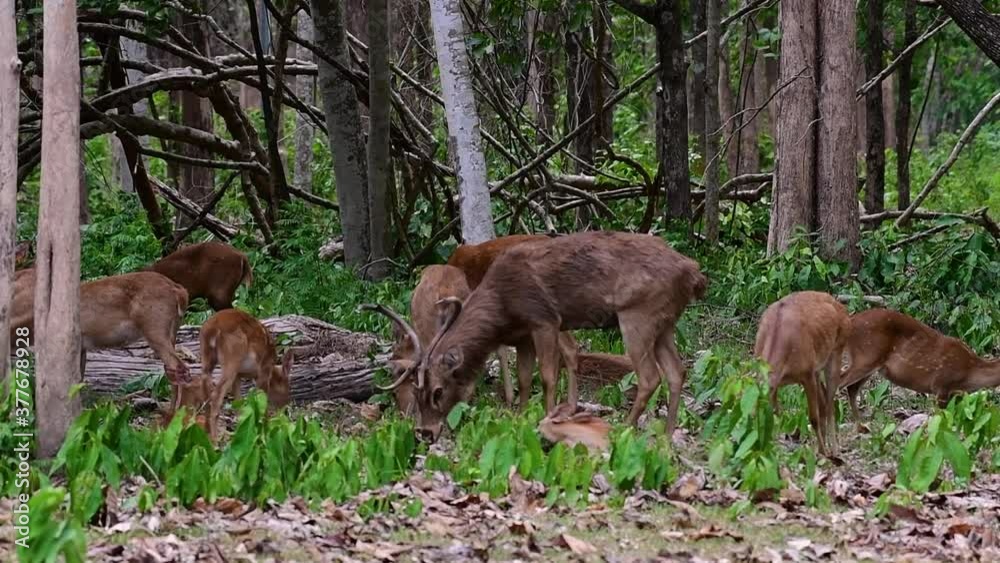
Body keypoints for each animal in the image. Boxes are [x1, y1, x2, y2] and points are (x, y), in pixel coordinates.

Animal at [199, 308, 292, 441]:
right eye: (288, 387)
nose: (285, 409)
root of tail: (211, 329)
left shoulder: (238, 375)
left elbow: (238, 404)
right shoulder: (264, 370)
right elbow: (262, 402)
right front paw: (265, 434)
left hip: (207, 358)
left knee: (204, 386)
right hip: (232, 357)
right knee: (216, 394)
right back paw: (215, 441)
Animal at [370, 231, 707, 442]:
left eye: (438, 391)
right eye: (417, 391)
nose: (425, 433)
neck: (502, 307)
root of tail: (694, 272)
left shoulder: (544, 320)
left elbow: (546, 375)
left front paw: (545, 417)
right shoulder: (522, 336)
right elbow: (524, 378)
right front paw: (519, 417)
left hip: (638, 315)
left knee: (650, 375)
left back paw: (624, 428)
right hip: (664, 324)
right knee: (677, 371)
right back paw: (667, 435)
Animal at [754, 291, 850, 457]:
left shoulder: (807, 374)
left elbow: (813, 417)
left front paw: (823, 453)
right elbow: (777, 412)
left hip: (837, 349)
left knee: (830, 403)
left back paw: (834, 450)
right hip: (818, 365)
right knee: (824, 401)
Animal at [840, 308, 1000, 422]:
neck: (970, 371)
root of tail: (851, 321)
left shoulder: (956, 393)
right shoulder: (941, 383)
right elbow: (940, 418)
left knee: (851, 388)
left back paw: (860, 423)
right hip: (867, 355)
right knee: (841, 382)